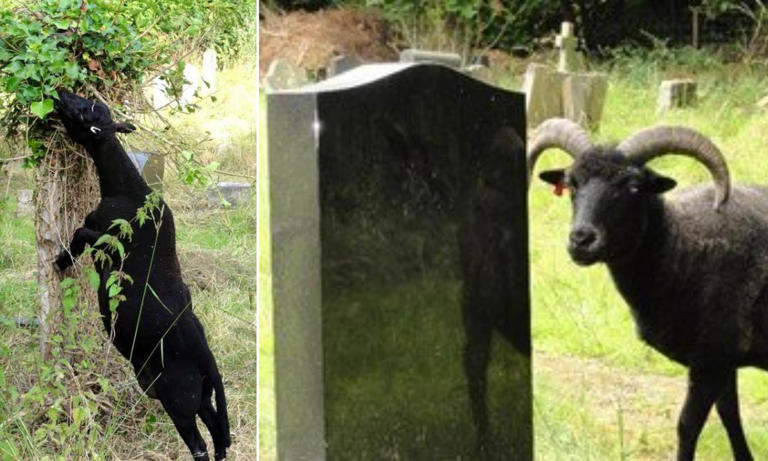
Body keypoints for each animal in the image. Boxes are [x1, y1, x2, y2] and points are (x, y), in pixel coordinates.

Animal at [52, 91, 231, 461]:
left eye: (84, 111)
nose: (61, 93)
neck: (127, 188)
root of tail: (208, 360)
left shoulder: (107, 245)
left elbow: (79, 233)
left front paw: (60, 261)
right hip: (200, 398)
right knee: (218, 439)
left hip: (179, 402)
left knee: (200, 447)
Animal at [527, 117, 767, 461]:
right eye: (572, 183)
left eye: (633, 187)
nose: (581, 240)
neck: (681, 250)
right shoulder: (723, 360)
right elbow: (729, 415)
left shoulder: (712, 359)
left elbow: (687, 425)